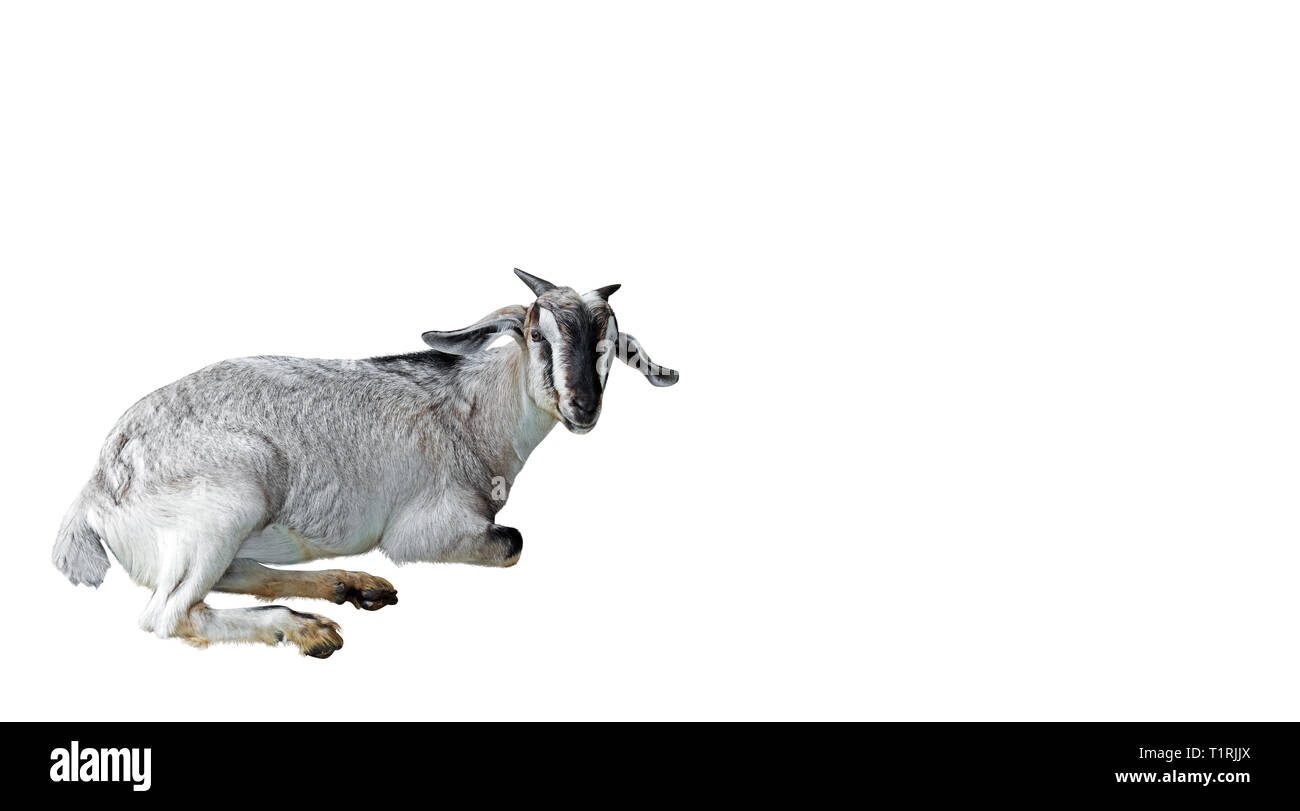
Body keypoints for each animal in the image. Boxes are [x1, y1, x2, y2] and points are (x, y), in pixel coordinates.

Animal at [52, 269, 678, 657]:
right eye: (535, 334)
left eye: (609, 344)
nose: (582, 406)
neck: (476, 410)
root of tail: (94, 490)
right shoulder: (428, 529)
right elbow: (514, 542)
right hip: (235, 497)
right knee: (170, 613)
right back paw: (305, 630)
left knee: (231, 574)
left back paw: (352, 586)